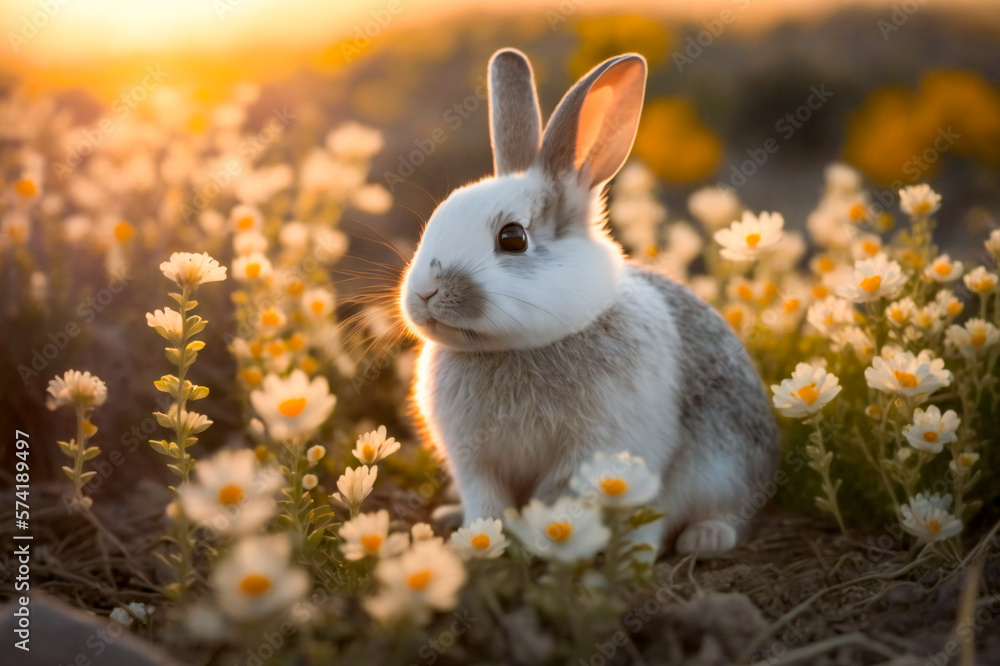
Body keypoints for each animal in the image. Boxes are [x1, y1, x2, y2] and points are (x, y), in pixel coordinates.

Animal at [399, 48, 779, 556]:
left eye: (513, 238)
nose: (425, 293)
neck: (509, 348)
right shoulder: (475, 463)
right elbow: (487, 503)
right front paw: (478, 542)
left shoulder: (588, 455)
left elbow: (553, 498)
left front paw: (537, 542)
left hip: (718, 468)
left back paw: (700, 538)